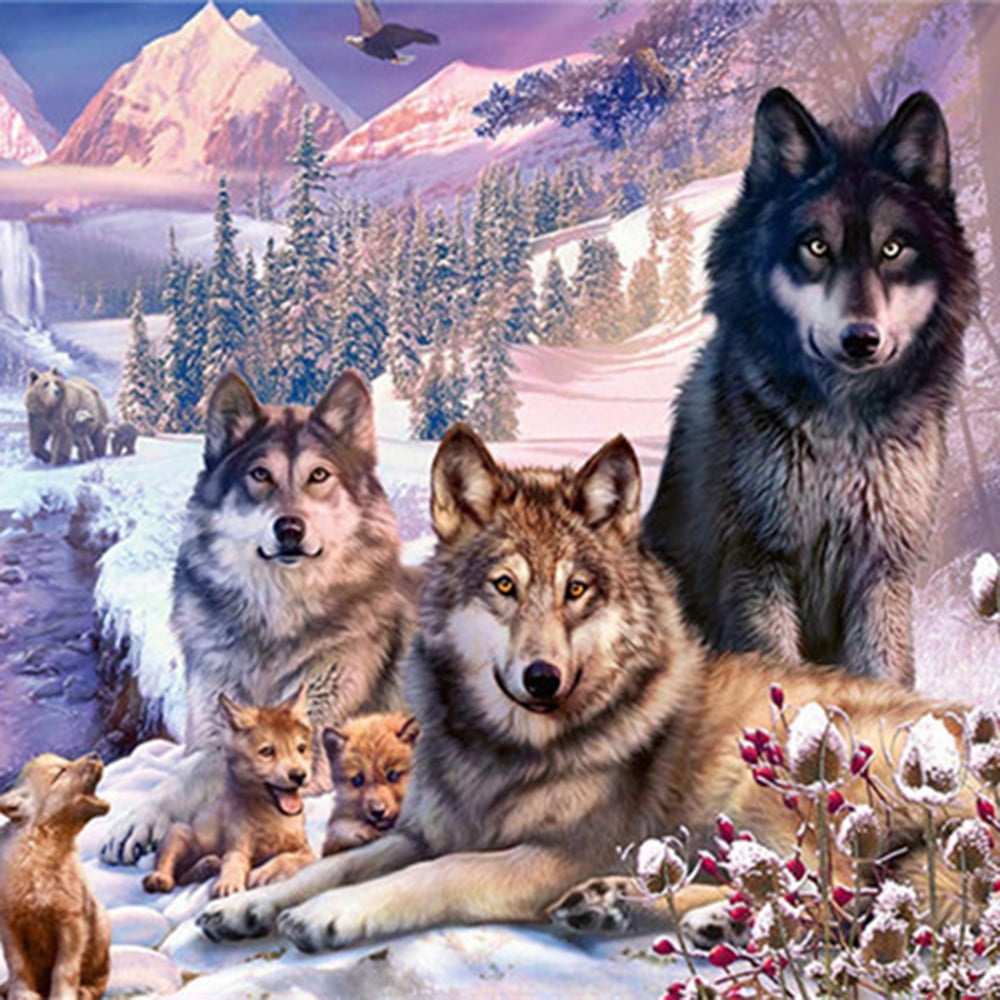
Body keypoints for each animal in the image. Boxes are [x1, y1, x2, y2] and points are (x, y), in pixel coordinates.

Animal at [100, 370, 418, 866]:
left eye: (319, 475)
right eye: (260, 474)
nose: (289, 528)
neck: (275, 620)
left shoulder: (315, 751)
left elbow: (207, 769)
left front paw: (137, 820)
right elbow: (198, 763)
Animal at [195, 428, 973, 954]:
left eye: (576, 590)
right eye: (504, 586)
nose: (542, 678)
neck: (503, 753)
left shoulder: (556, 852)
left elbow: (434, 876)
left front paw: (331, 914)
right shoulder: (426, 831)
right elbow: (343, 863)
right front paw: (250, 906)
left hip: (780, 774)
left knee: (833, 892)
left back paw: (679, 913)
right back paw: (623, 904)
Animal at [643, 88, 978, 686]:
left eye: (893, 249)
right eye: (817, 247)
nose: (861, 339)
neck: (843, 431)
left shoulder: (882, 568)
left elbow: (885, 677)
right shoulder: (758, 562)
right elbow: (778, 671)